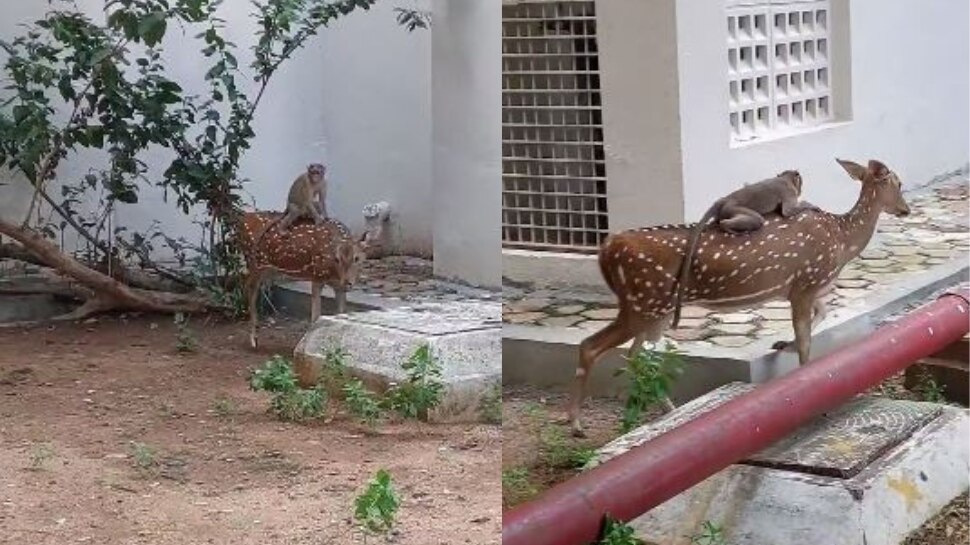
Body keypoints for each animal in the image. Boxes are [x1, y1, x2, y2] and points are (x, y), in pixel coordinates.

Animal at [237, 211, 373, 350]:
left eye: (357, 258)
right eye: (337, 259)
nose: (347, 282)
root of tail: (243, 219)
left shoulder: (337, 285)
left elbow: (341, 313)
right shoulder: (317, 275)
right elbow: (315, 315)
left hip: (268, 269)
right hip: (254, 263)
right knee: (249, 287)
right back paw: (253, 338)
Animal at [670, 170, 819, 328]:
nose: (801, 190)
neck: (785, 179)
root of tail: (724, 199)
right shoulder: (788, 193)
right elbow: (788, 212)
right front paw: (810, 205)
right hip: (734, 209)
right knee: (755, 220)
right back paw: (728, 227)